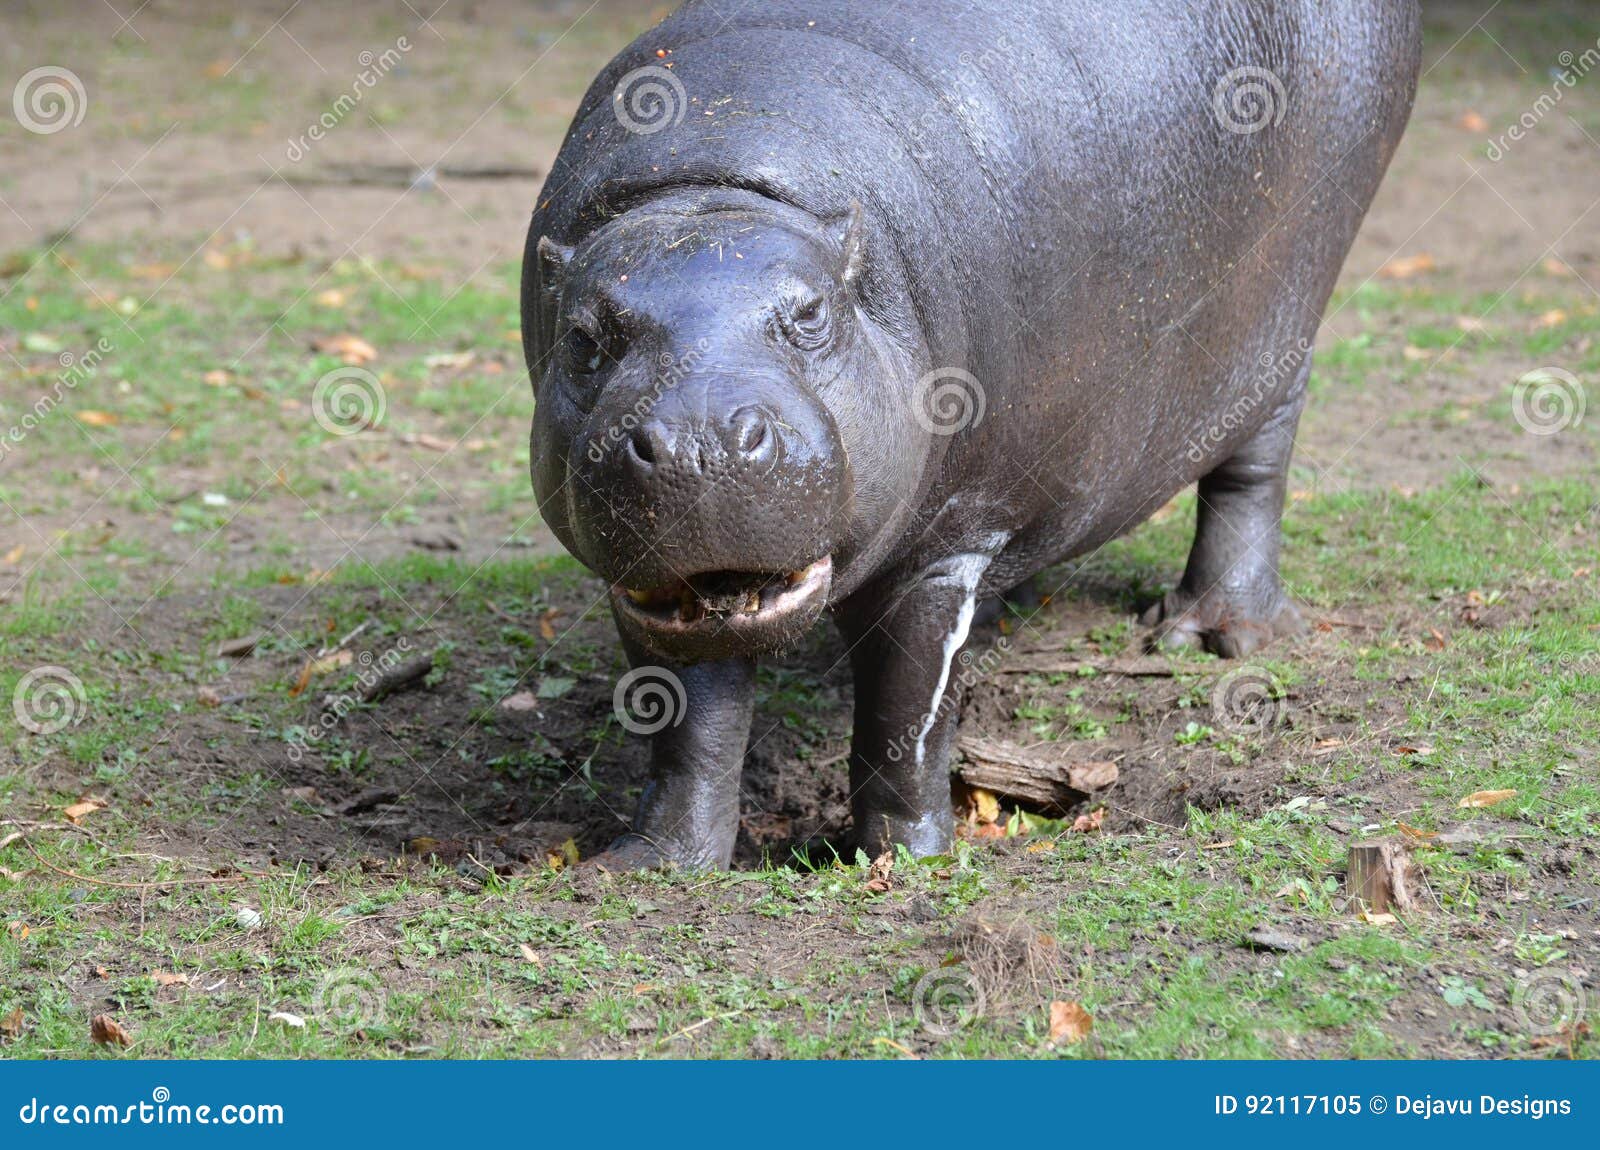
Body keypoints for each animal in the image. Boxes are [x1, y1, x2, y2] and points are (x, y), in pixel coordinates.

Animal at [522, 0, 1421, 868]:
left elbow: (906, 714)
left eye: (812, 315)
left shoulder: (946, 540)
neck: (707, 191)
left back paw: (1212, 634)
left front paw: (900, 860)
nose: (699, 438)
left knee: (1253, 471)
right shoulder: (653, 581)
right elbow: (689, 723)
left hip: (1287, 319)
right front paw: (650, 865)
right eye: (583, 336)